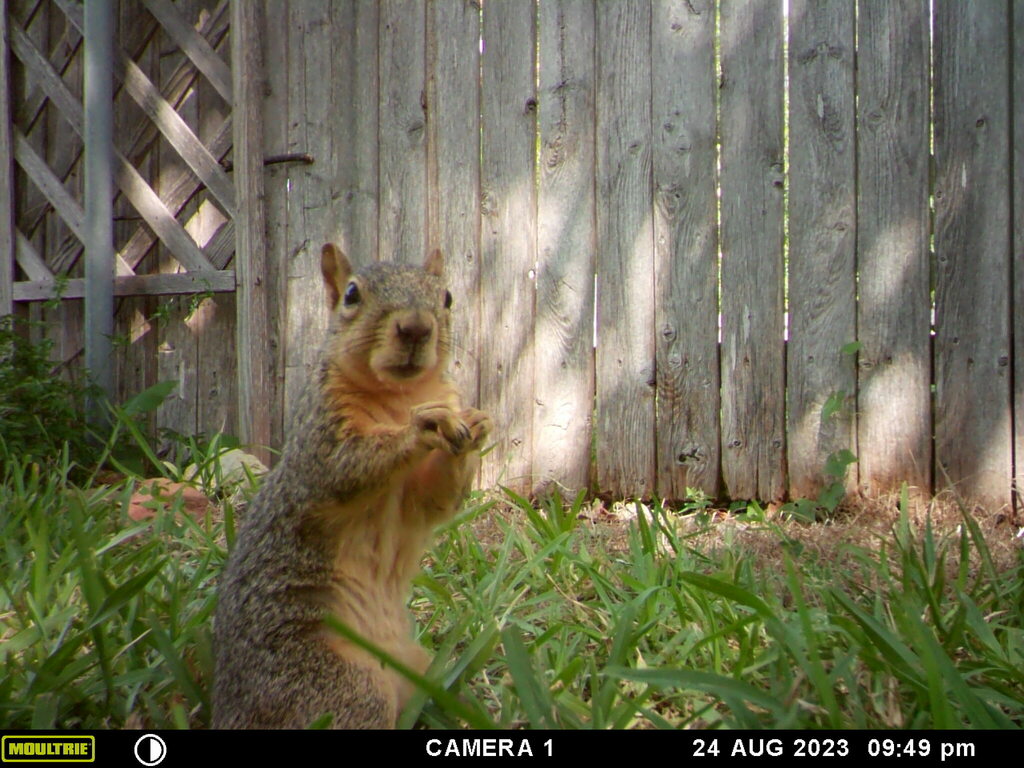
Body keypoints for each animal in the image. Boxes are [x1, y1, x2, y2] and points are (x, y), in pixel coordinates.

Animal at [212, 244, 491, 729]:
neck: (399, 396)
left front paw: (472, 426)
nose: (416, 327)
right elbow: (344, 469)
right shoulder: (321, 437)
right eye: (352, 295)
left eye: (448, 297)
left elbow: (437, 500)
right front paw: (421, 426)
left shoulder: (419, 497)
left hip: (423, 674)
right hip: (342, 685)